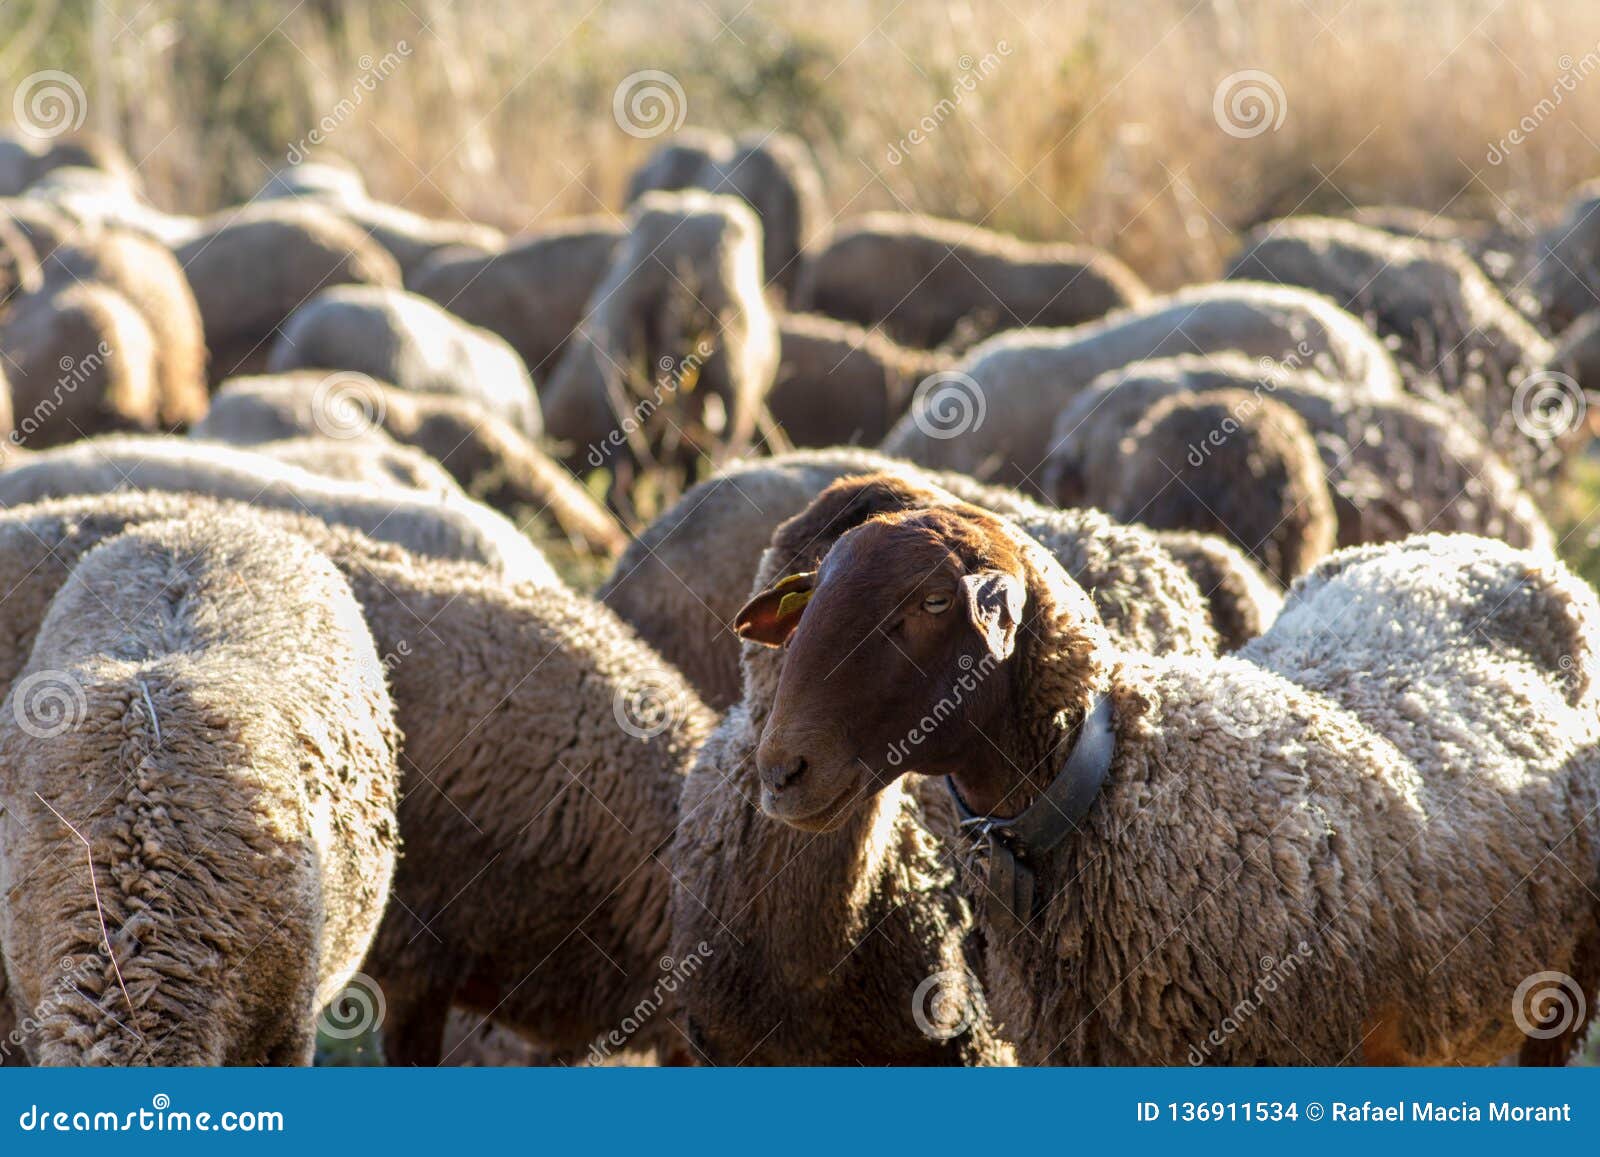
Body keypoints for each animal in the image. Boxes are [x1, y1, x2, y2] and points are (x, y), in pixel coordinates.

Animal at [744, 502, 1600, 1065]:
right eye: (810, 601)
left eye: (927, 602)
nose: (781, 770)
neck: (1111, 780)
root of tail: (1472, 544)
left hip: (1554, 1002)